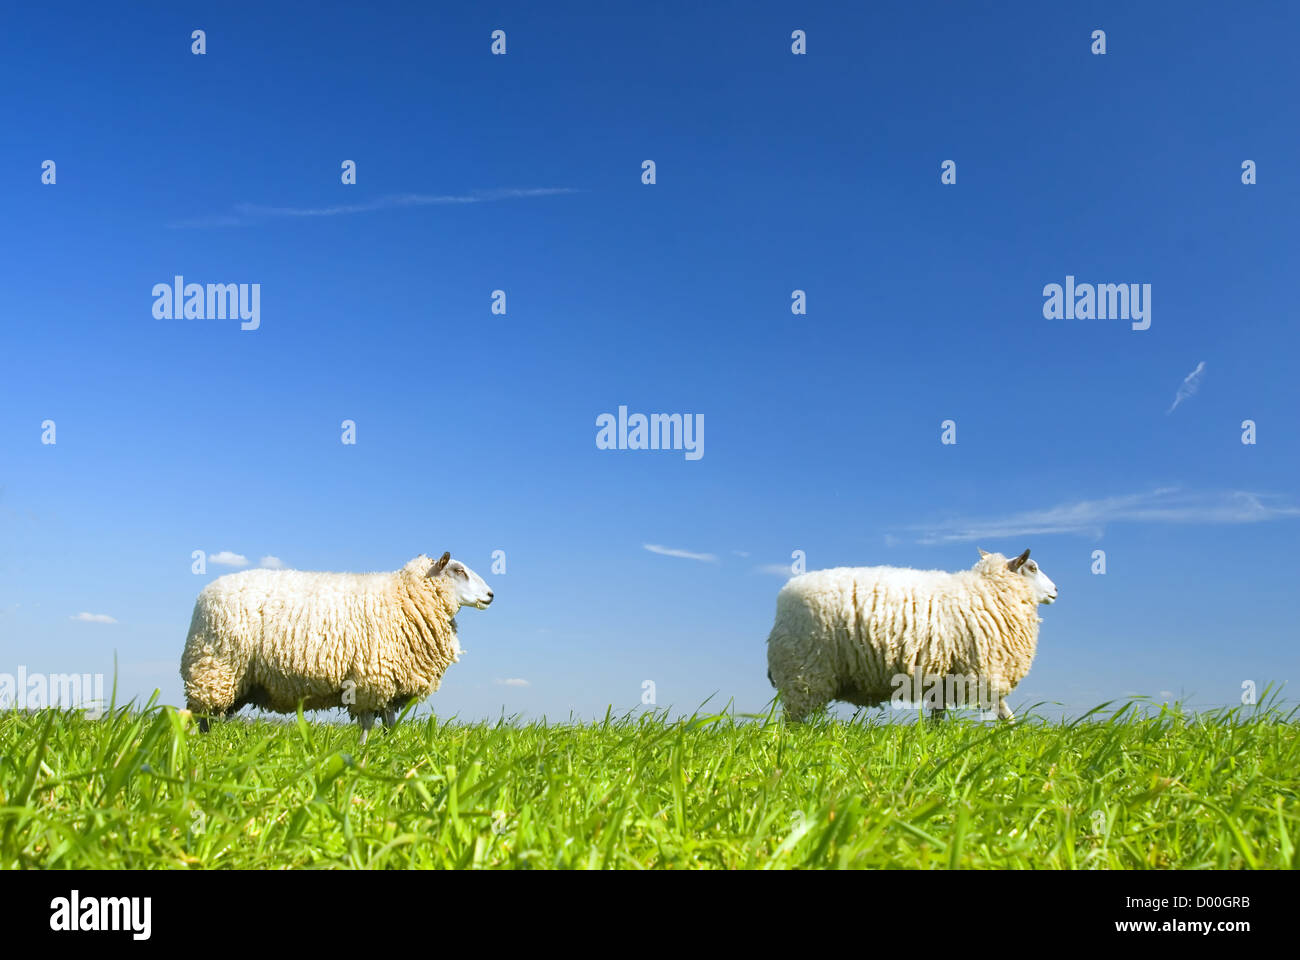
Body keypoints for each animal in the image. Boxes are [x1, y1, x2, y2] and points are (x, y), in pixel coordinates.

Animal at [181, 551, 493, 743]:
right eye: (459, 570)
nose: (490, 595)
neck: (404, 595)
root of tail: (204, 594)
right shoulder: (370, 679)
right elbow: (367, 723)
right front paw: (363, 752)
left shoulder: (389, 681)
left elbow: (390, 721)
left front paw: (391, 746)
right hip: (215, 666)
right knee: (199, 714)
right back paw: (201, 746)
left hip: (235, 679)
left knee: (210, 715)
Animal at [765, 548, 1056, 722]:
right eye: (1032, 568)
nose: (1056, 590)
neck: (989, 590)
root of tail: (782, 602)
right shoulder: (981, 672)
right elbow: (1005, 712)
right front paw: (1014, 735)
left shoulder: (946, 678)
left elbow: (938, 718)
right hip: (804, 672)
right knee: (793, 723)